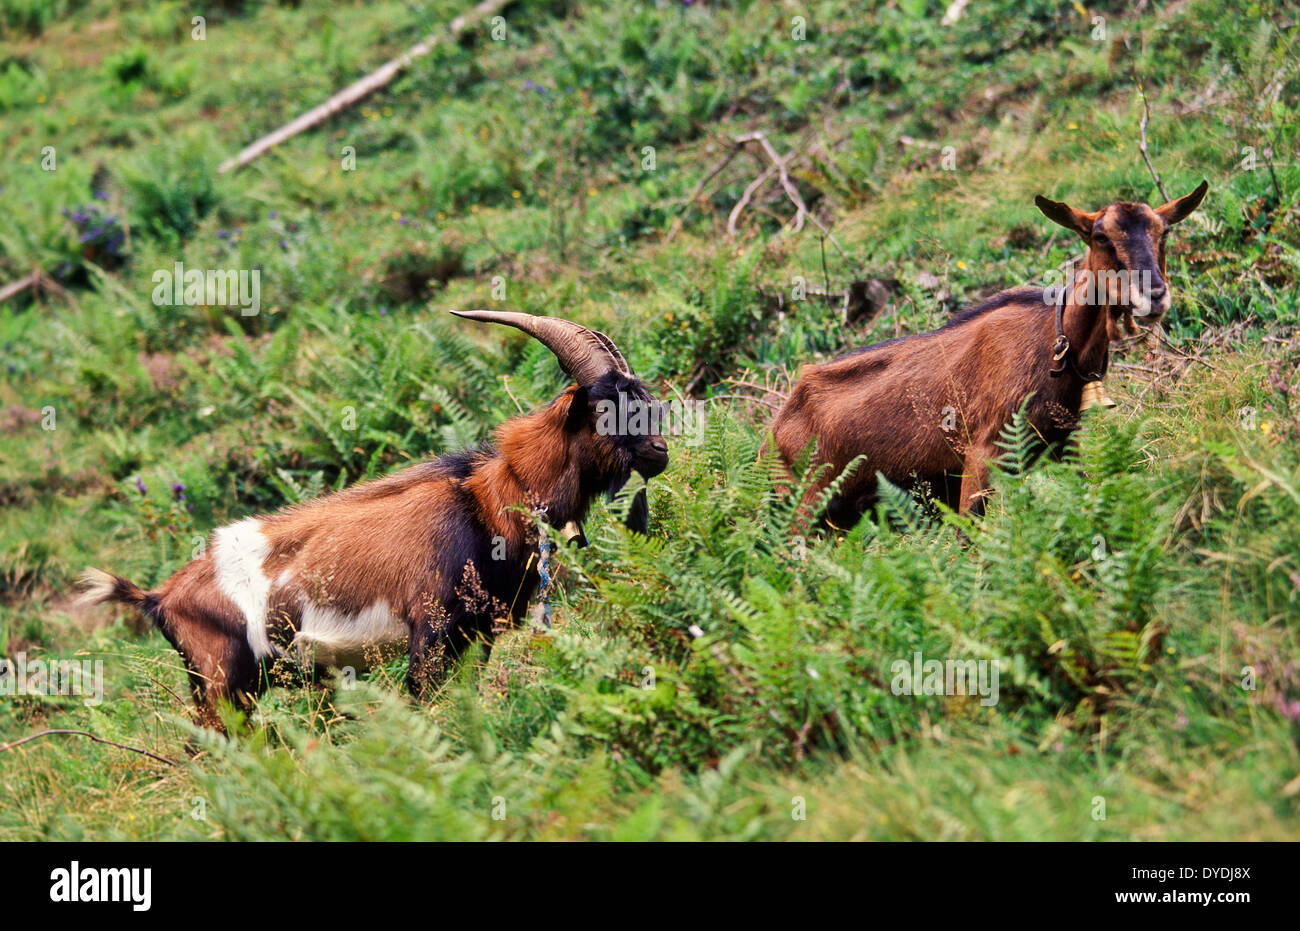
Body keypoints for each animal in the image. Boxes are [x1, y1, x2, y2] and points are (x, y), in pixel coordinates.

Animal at [79, 311, 669, 731]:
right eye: (608, 405)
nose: (659, 453)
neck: (488, 501)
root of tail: (161, 596)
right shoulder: (430, 633)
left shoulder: (478, 637)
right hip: (224, 683)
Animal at [767, 182, 1208, 528]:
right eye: (1099, 236)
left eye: (1164, 232)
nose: (1154, 294)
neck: (1055, 343)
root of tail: (775, 426)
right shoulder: (980, 454)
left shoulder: (1063, 447)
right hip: (801, 503)